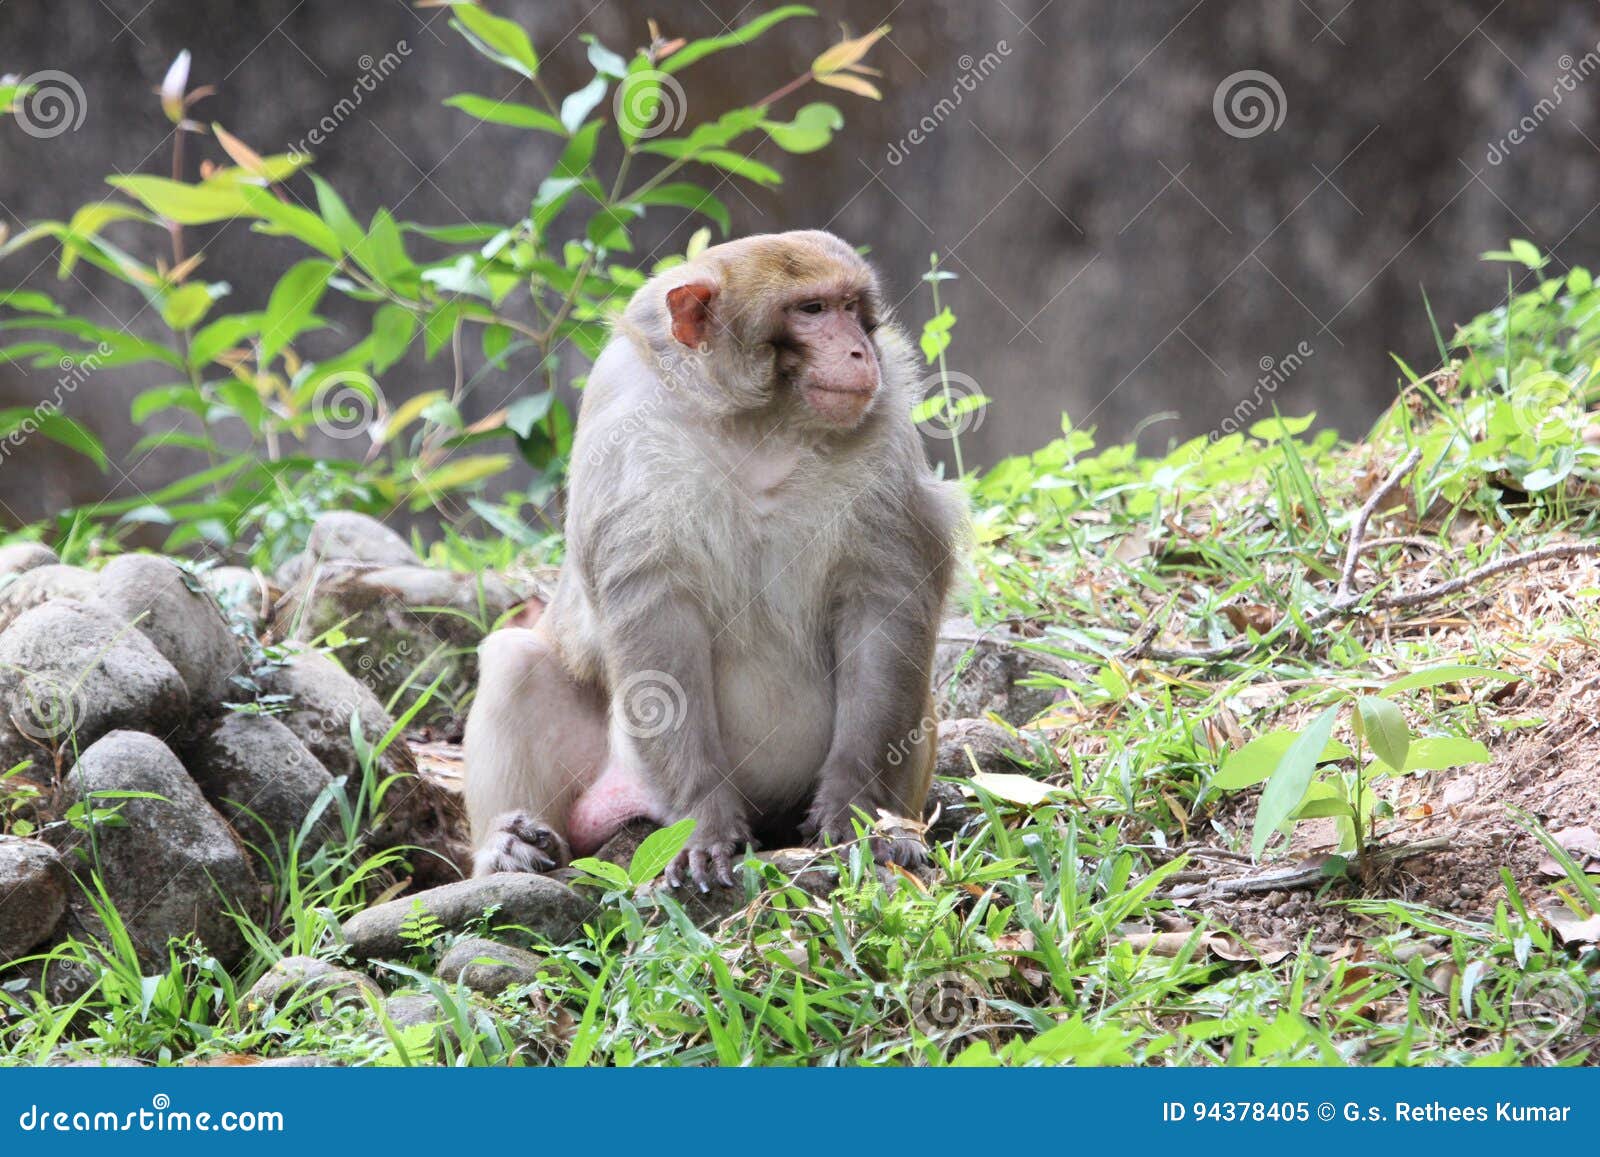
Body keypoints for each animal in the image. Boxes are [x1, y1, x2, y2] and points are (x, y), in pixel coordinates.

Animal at [464, 230, 965, 890]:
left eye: (853, 308)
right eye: (812, 310)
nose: (861, 352)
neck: (754, 421)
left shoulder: (883, 425)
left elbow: (884, 600)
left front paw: (853, 809)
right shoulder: (622, 423)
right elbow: (654, 618)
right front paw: (704, 822)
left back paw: (900, 834)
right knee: (515, 660)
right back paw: (509, 845)